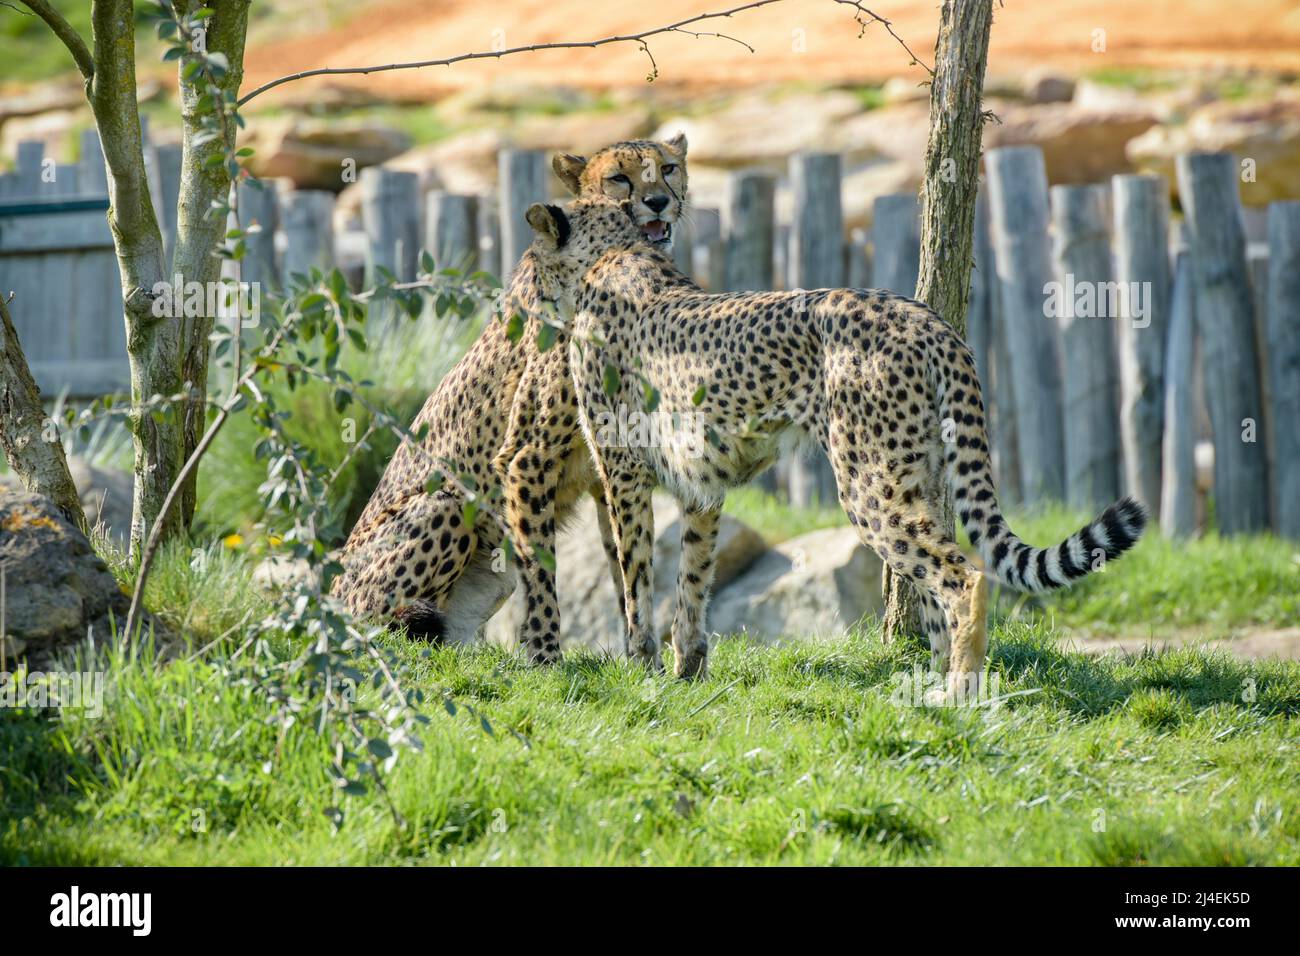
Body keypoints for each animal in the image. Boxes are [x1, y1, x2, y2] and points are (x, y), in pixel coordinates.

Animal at [331, 136, 693, 664]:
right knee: (375, 627)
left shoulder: (605, 464)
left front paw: (636, 655)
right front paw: (545, 655)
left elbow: (625, 559)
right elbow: (543, 569)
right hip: (444, 505)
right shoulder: (526, 458)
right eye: (619, 179)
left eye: (667, 168)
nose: (658, 203)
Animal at [524, 195, 1148, 698]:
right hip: (916, 473)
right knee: (933, 581)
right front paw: (687, 668)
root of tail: (926, 317)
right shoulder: (701, 486)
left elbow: (634, 576)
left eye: (531, 260)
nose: (524, 298)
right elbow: (693, 577)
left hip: (867, 483)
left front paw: (642, 667)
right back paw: (928, 682)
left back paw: (961, 690)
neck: (615, 254)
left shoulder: (624, 472)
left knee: (962, 576)